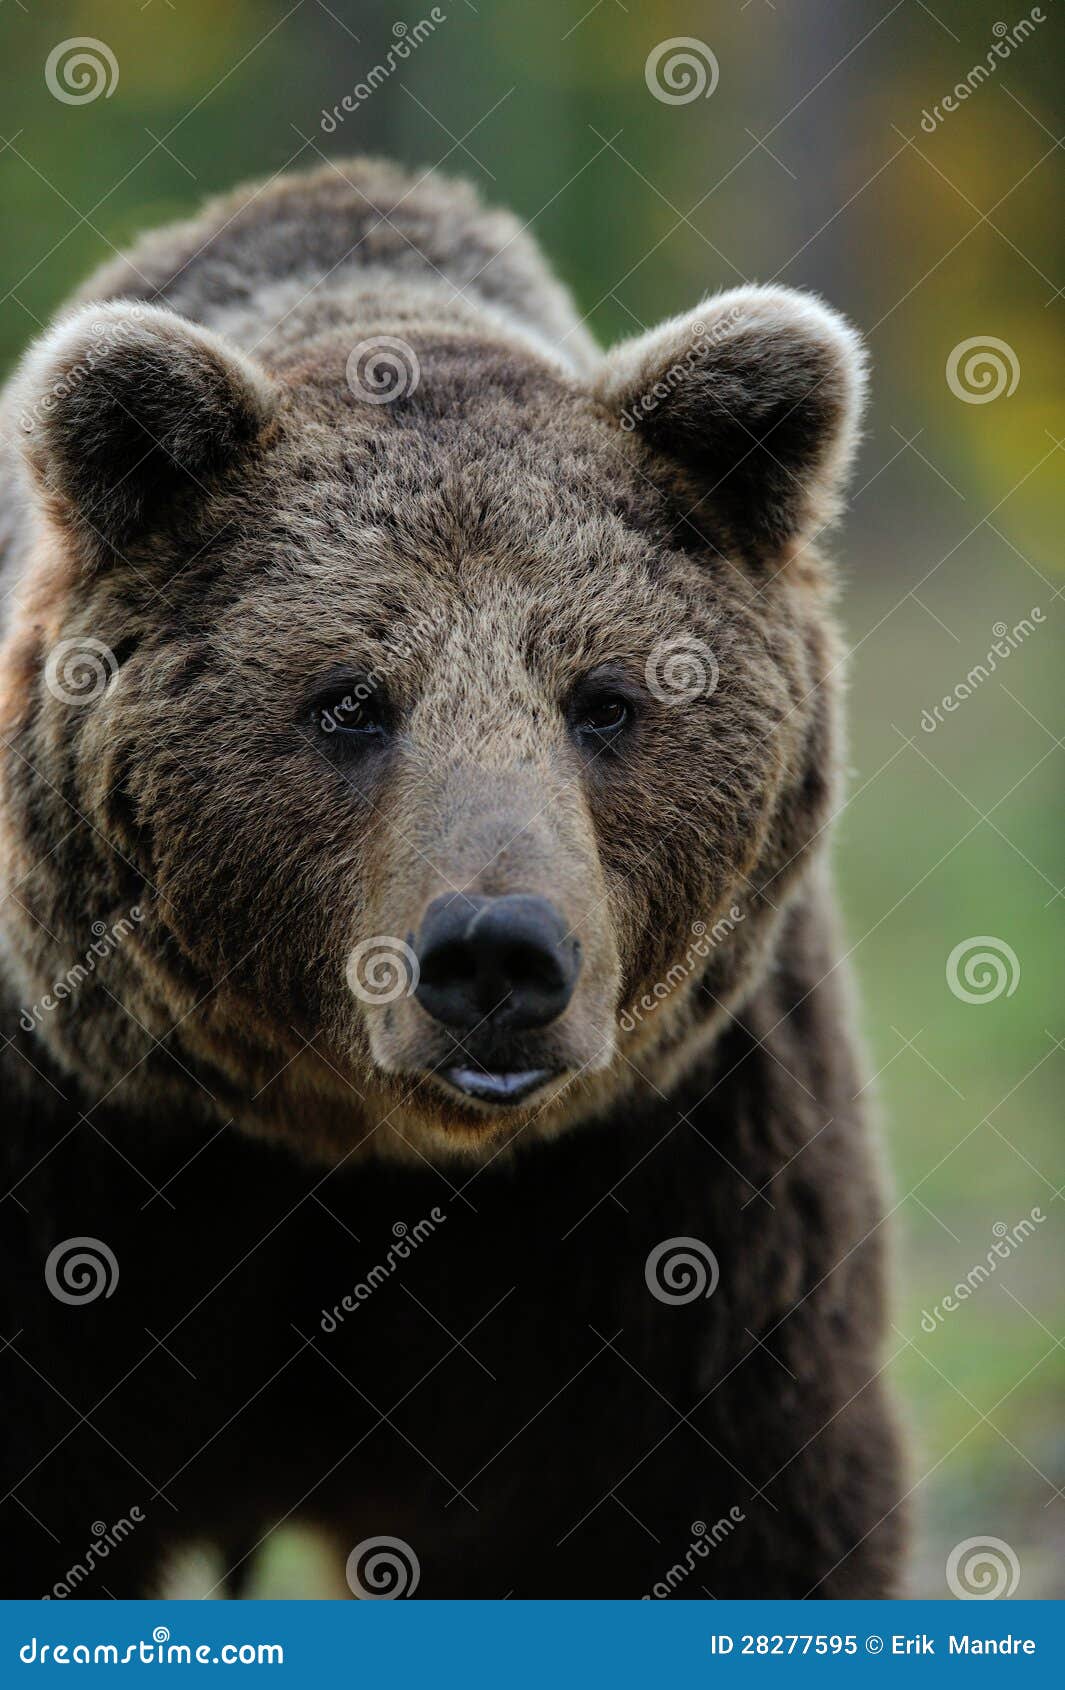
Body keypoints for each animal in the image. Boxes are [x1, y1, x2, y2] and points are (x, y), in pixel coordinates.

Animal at [0, 158, 906, 1599]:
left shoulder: (674, 1196)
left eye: (606, 699)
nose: (496, 952)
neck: (363, 1158)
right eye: (347, 701)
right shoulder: (88, 1177)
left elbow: (733, 1511)